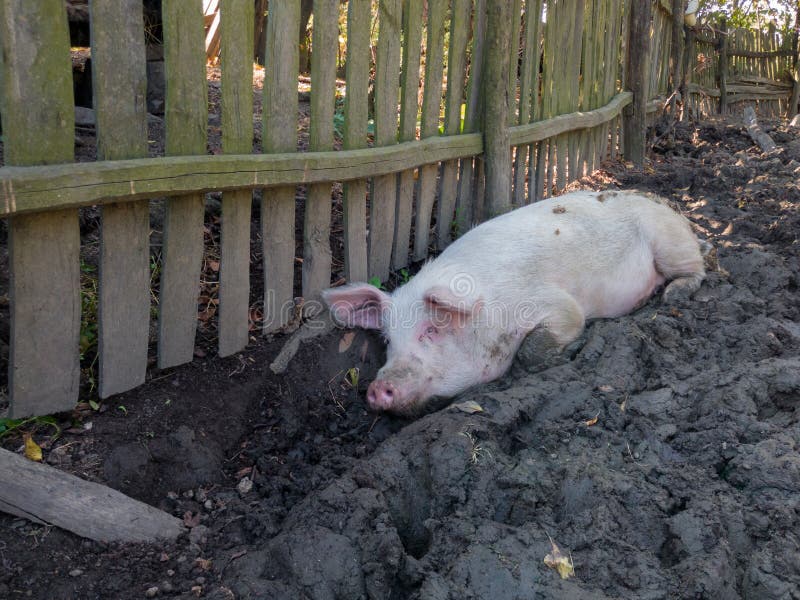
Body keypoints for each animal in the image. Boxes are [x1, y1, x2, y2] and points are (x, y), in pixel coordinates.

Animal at [322, 190, 706, 415]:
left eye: (431, 329)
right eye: (388, 340)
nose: (377, 387)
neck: (487, 310)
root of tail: (665, 203)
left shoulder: (557, 305)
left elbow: (539, 344)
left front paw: (568, 354)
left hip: (670, 244)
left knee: (699, 269)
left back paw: (670, 295)